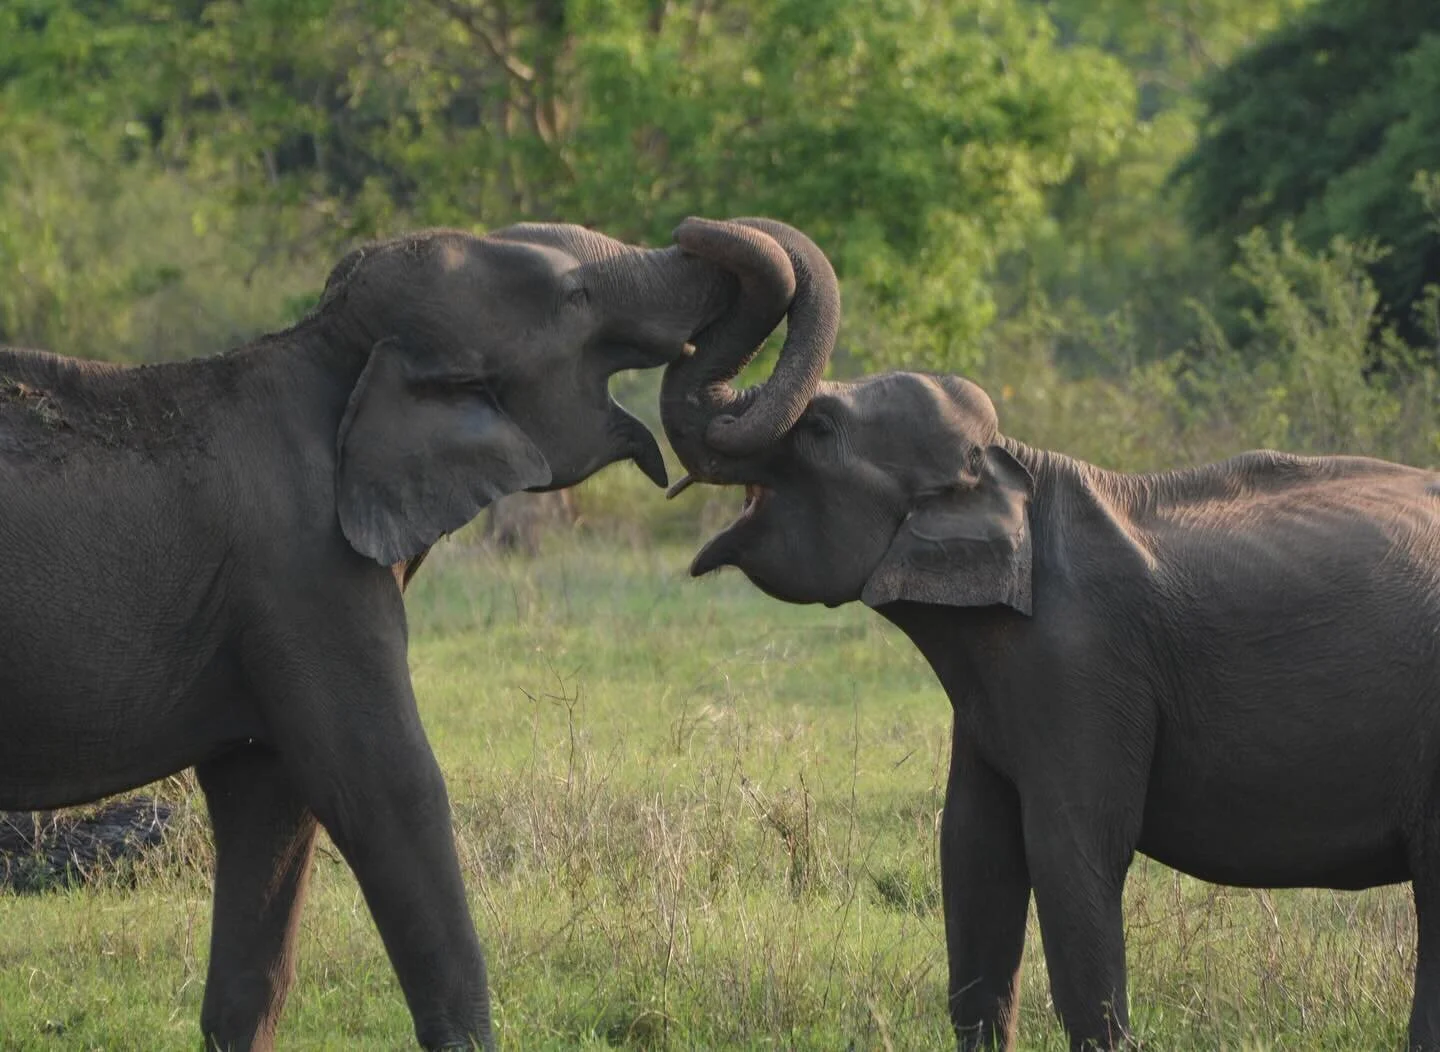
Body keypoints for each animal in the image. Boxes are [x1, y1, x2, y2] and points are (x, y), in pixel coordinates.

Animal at [0, 217, 819, 1051]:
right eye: (575, 298)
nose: (698, 228)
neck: (333, 351)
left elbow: (270, 803)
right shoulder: (307, 577)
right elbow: (385, 787)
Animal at [659, 223, 1440, 1051]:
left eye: (817, 428)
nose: (687, 233)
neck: (1013, 469)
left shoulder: (1081, 668)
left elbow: (1073, 854)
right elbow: (973, 852)